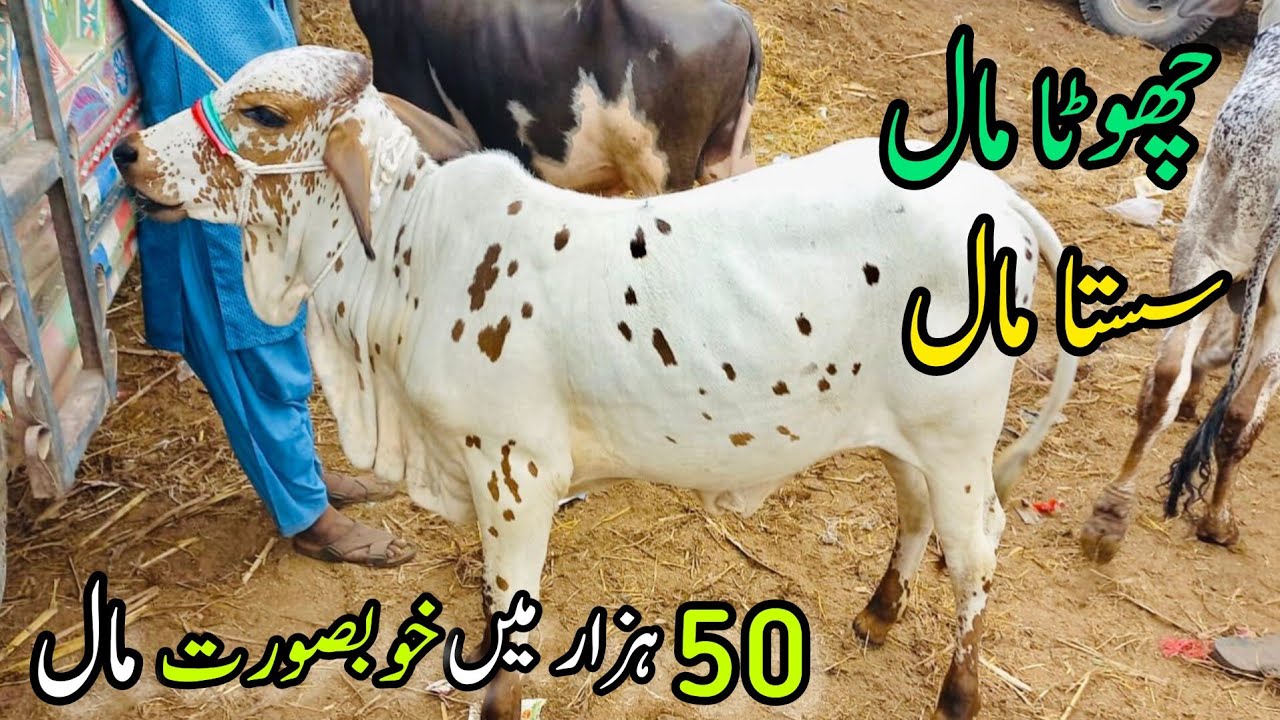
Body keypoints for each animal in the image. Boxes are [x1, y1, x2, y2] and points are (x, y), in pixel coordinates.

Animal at [113, 46, 1077, 720]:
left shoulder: (515, 474)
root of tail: (992, 194)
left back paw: (959, 693)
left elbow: (509, 612)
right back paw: (878, 613)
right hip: (907, 437)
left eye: (264, 111)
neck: (414, 254)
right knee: (918, 518)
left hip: (958, 442)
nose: (127, 152)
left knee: (977, 554)